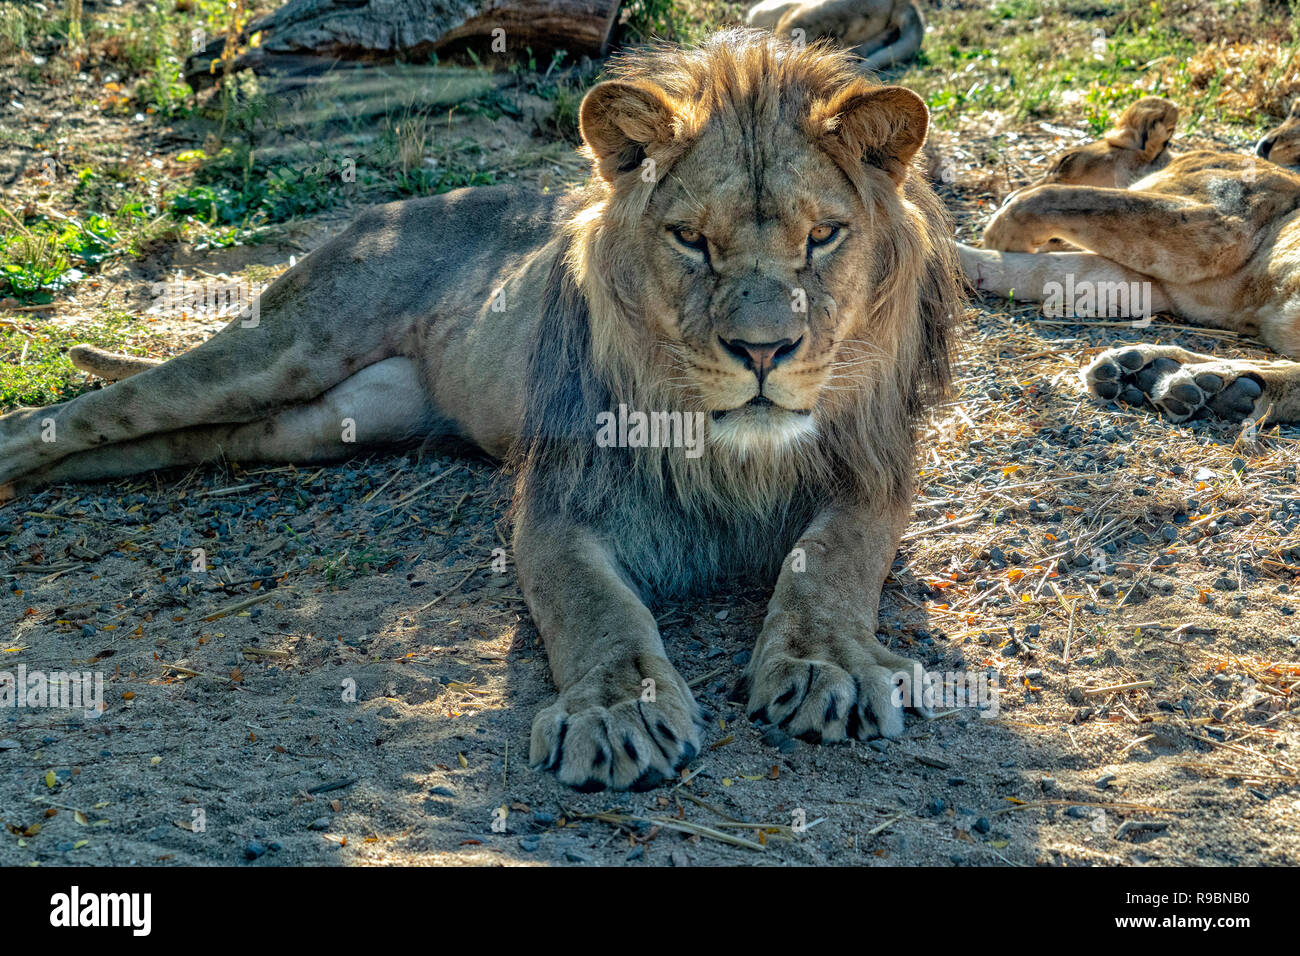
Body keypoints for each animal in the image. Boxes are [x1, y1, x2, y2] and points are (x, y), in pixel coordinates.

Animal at [0, 30, 963, 792]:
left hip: (315, 423)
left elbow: (830, 563)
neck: (729, 445)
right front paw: (615, 712)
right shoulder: (562, 506)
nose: (763, 353)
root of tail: (382, 209)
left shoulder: (868, 475)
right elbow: (597, 609)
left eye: (823, 236)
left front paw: (827, 666)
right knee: (89, 413)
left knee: (177, 441)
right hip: (283, 350)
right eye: (691, 239)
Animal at [958, 96, 1300, 425]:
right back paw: (1148, 372)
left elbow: (1064, 197)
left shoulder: (1221, 223)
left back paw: (1207, 384)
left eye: (1065, 161)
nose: (1003, 197)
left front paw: (1001, 225)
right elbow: (1037, 269)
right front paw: (955, 257)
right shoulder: (1157, 282)